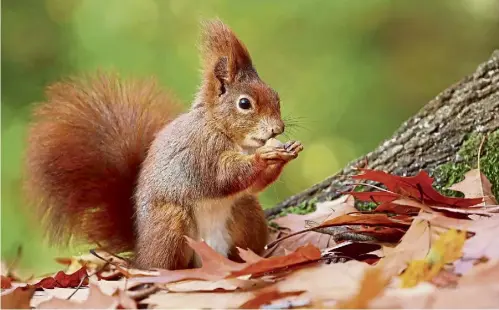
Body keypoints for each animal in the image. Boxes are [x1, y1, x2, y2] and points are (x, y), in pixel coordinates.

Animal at [23, 20, 302, 270]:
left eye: (276, 96)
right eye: (244, 104)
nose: (278, 129)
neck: (224, 130)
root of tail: (141, 249)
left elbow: (253, 185)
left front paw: (287, 153)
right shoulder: (201, 151)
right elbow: (224, 176)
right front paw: (265, 155)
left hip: (246, 212)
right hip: (170, 223)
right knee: (164, 263)